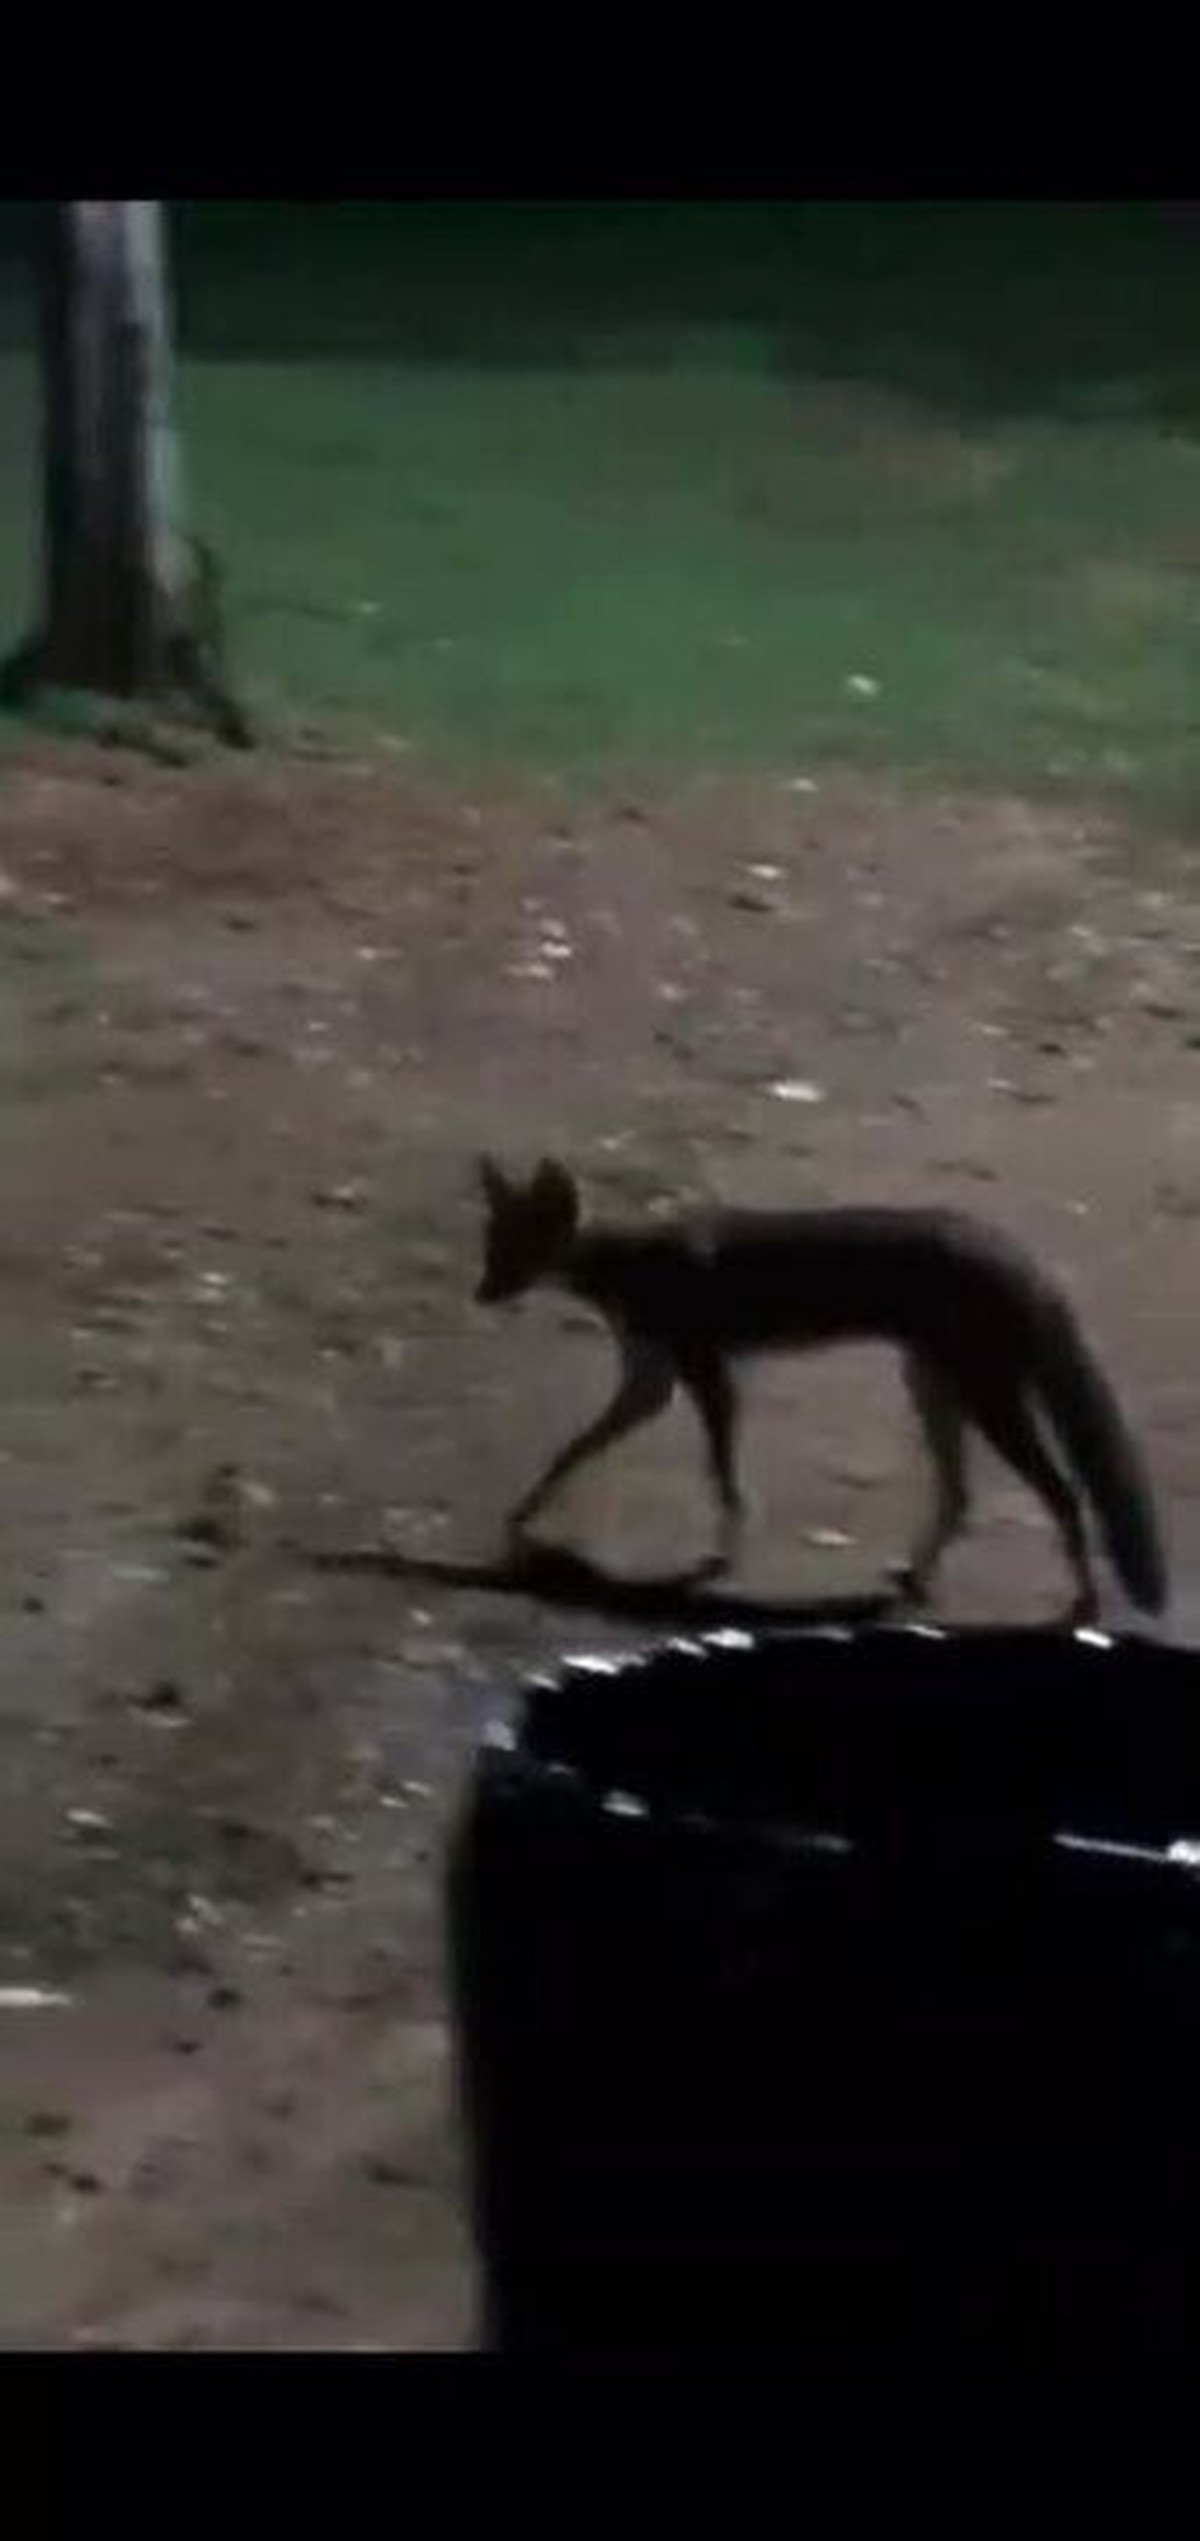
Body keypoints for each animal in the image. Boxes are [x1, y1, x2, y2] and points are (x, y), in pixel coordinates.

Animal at [474, 1156, 1168, 1626]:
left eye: (516, 1252)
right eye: (491, 1249)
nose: (480, 1294)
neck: (633, 1263)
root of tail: (1025, 1258)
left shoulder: (708, 1375)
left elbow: (725, 1483)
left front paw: (720, 1558)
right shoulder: (652, 1384)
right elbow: (571, 1451)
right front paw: (525, 1513)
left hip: (985, 1398)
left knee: (1064, 1494)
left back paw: (1082, 1601)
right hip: (933, 1387)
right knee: (961, 1495)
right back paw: (915, 1575)